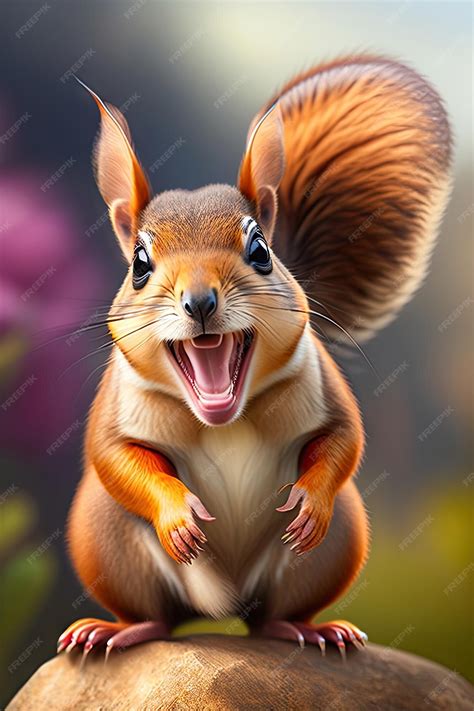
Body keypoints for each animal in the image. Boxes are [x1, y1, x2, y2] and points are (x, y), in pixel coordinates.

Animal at [58, 55, 451, 658]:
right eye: (139, 264)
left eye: (261, 250)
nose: (200, 301)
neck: (224, 419)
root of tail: (222, 610)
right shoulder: (115, 410)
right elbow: (115, 458)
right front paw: (178, 515)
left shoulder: (325, 387)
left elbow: (346, 439)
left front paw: (311, 502)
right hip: (104, 540)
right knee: (157, 619)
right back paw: (116, 630)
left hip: (337, 545)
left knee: (273, 616)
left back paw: (311, 628)